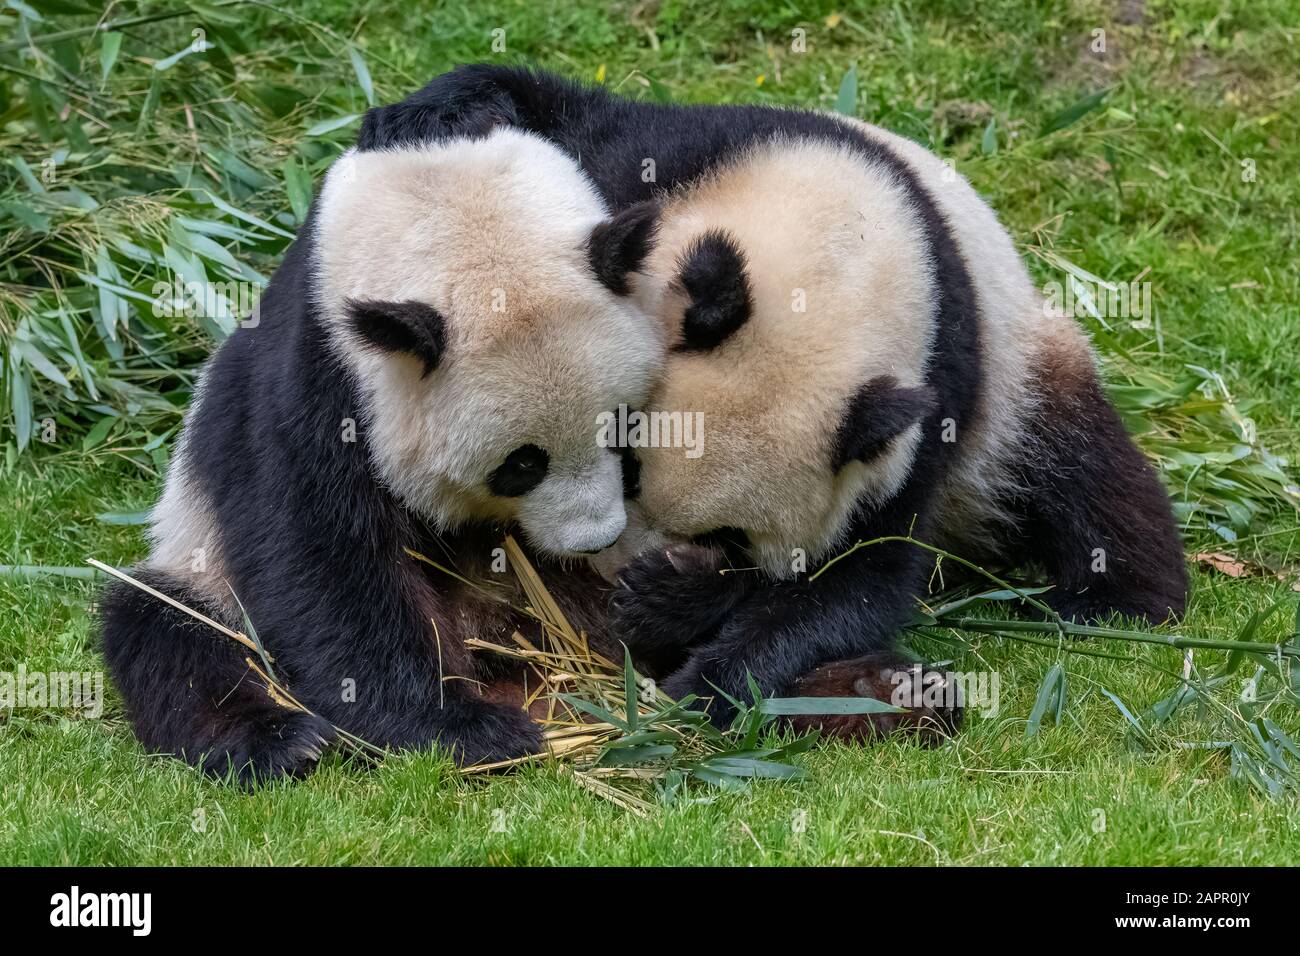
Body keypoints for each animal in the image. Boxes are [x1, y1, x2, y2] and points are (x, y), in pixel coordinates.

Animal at [99, 127, 666, 783]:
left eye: (619, 428)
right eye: (522, 465)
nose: (595, 541)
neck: (438, 190)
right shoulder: (323, 379)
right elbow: (323, 557)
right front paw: (462, 729)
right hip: (203, 569)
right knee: (168, 631)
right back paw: (282, 741)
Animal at [361, 67, 1188, 727]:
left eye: (735, 539)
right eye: (626, 459)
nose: (616, 568)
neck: (844, 251)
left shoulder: (929, 401)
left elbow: (854, 581)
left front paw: (698, 666)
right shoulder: (673, 158)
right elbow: (574, 124)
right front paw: (433, 115)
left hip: (1020, 380)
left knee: (1082, 473)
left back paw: (1105, 603)